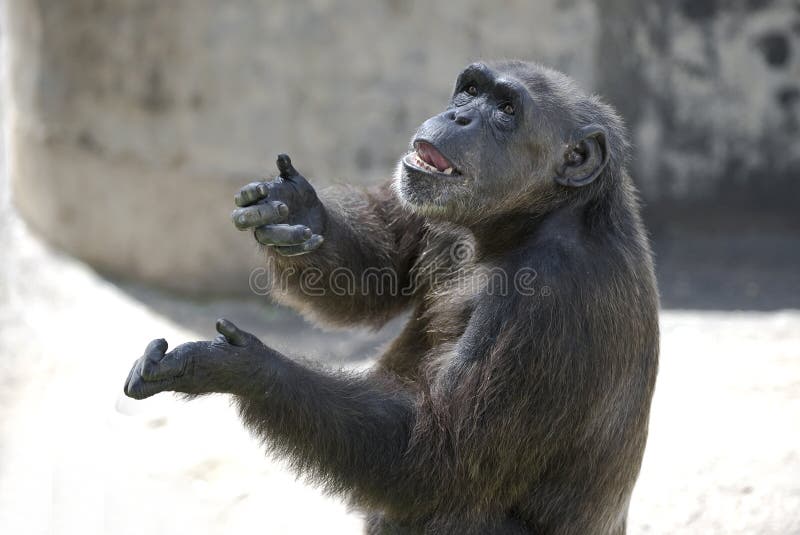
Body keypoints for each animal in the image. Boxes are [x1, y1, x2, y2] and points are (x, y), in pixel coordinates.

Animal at [124, 61, 659, 534]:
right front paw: (296, 207)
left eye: (507, 109)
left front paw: (240, 367)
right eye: (470, 90)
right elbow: (373, 279)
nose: (459, 116)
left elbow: (438, 461)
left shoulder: (548, 298)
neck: (531, 220)